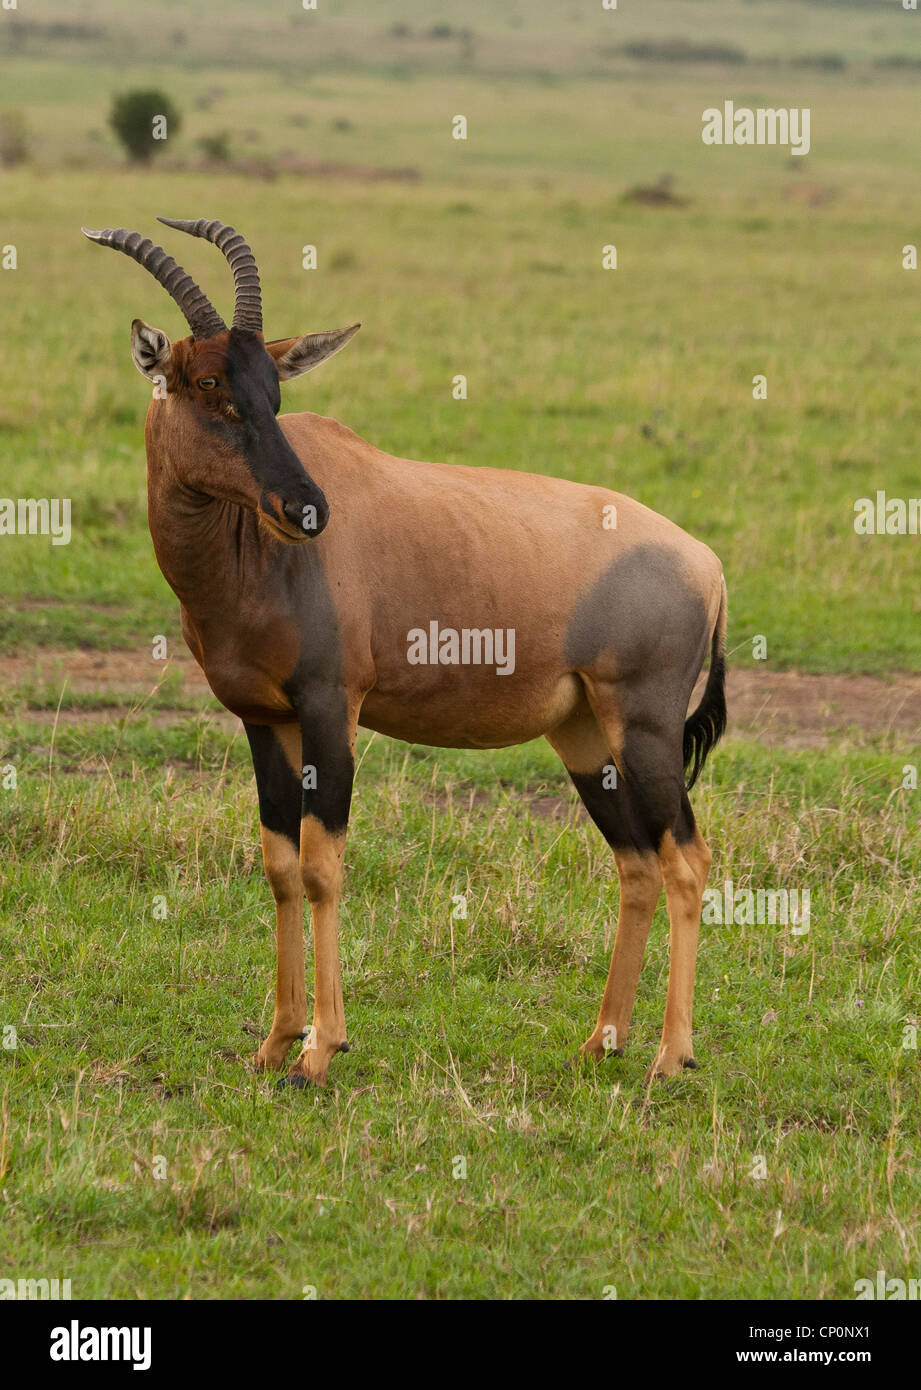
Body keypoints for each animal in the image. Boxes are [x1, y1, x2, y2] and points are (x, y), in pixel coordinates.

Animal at [84, 217, 727, 1087]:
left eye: (274, 390)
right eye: (210, 382)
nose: (306, 509)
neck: (253, 551)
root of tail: (706, 564)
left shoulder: (331, 707)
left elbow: (322, 866)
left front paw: (319, 1050)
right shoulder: (263, 720)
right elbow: (279, 865)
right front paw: (273, 1043)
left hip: (647, 727)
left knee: (686, 862)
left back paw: (669, 1056)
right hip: (584, 735)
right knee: (634, 864)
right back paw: (600, 1042)